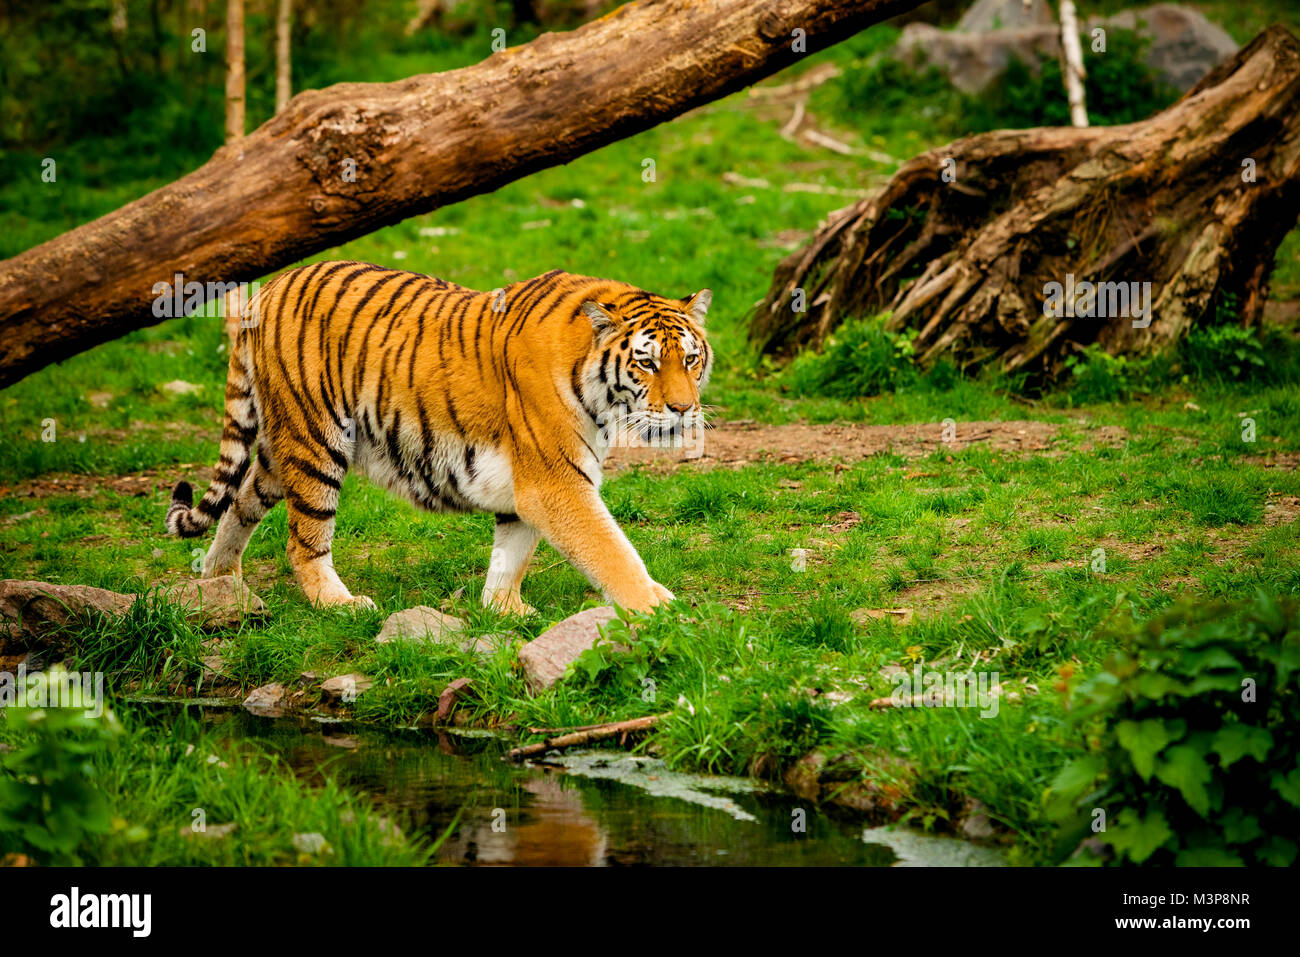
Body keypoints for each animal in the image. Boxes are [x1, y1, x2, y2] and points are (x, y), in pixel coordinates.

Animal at [164, 260, 713, 614]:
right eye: (647, 363)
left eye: (690, 359)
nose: (683, 408)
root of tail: (271, 286)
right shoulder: (556, 482)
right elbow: (611, 551)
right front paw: (660, 609)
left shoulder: (530, 485)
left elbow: (511, 553)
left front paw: (504, 610)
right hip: (315, 441)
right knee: (304, 541)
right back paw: (340, 604)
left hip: (283, 448)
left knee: (241, 500)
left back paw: (220, 581)